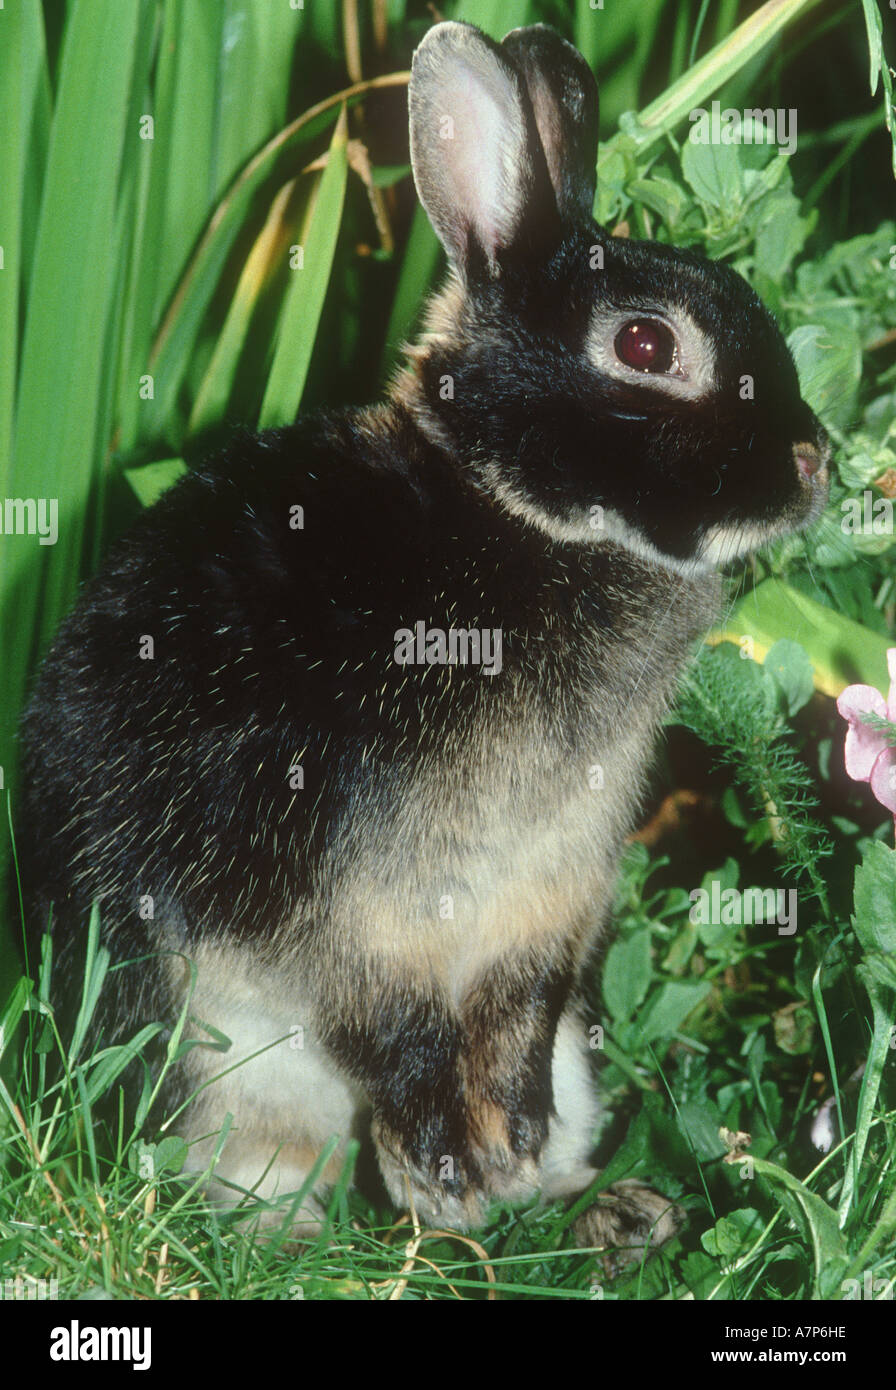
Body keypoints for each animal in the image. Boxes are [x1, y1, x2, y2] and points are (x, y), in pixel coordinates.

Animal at [17, 20, 829, 1266]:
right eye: (646, 344)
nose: (812, 462)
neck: (519, 515)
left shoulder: (549, 890)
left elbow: (520, 1009)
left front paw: (503, 1144)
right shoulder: (354, 897)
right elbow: (385, 1023)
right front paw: (447, 1163)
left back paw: (598, 1211)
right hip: (220, 1081)